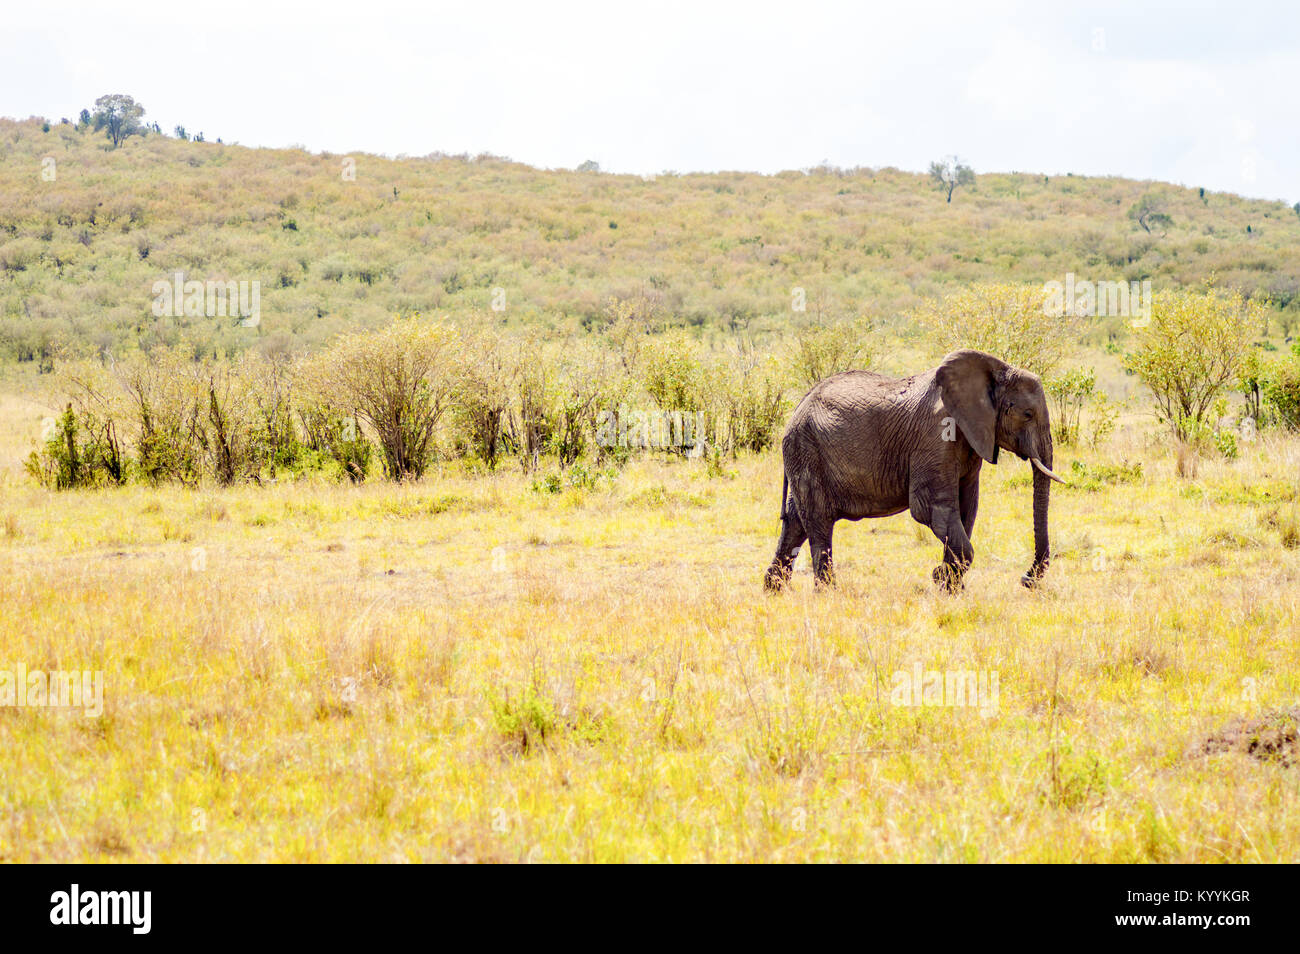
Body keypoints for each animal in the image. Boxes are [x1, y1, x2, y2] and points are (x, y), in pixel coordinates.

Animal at [763, 349, 1067, 593]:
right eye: (1027, 414)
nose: (1026, 580)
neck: (995, 369)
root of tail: (798, 407)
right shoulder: (935, 436)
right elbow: (931, 507)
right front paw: (942, 580)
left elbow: (967, 508)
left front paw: (949, 586)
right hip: (806, 450)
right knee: (818, 521)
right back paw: (828, 594)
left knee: (795, 521)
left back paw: (773, 590)